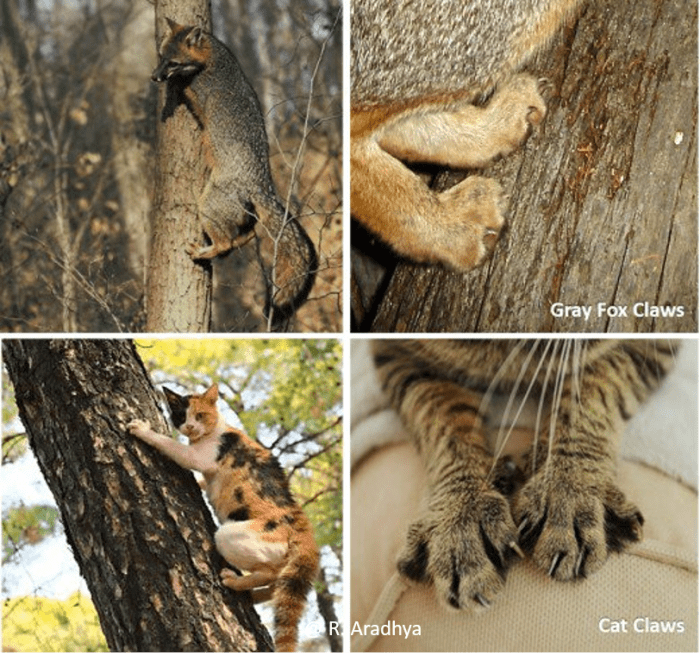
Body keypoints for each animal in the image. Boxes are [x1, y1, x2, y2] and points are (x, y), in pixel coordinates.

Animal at [127, 383, 319, 653]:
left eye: (199, 415)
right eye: (181, 415)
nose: (189, 427)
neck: (215, 430)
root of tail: (304, 532)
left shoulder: (199, 456)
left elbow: (171, 445)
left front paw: (141, 428)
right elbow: (202, 481)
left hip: (230, 535)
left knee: (270, 573)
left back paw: (233, 581)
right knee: (278, 584)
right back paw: (252, 595)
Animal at [152, 19, 317, 328]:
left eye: (173, 63)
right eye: (160, 58)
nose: (154, 77)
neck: (217, 58)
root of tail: (262, 183)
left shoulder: (196, 95)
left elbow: (182, 87)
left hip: (207, 205)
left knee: (225, 244)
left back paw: (203, 251)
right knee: (243, 238)